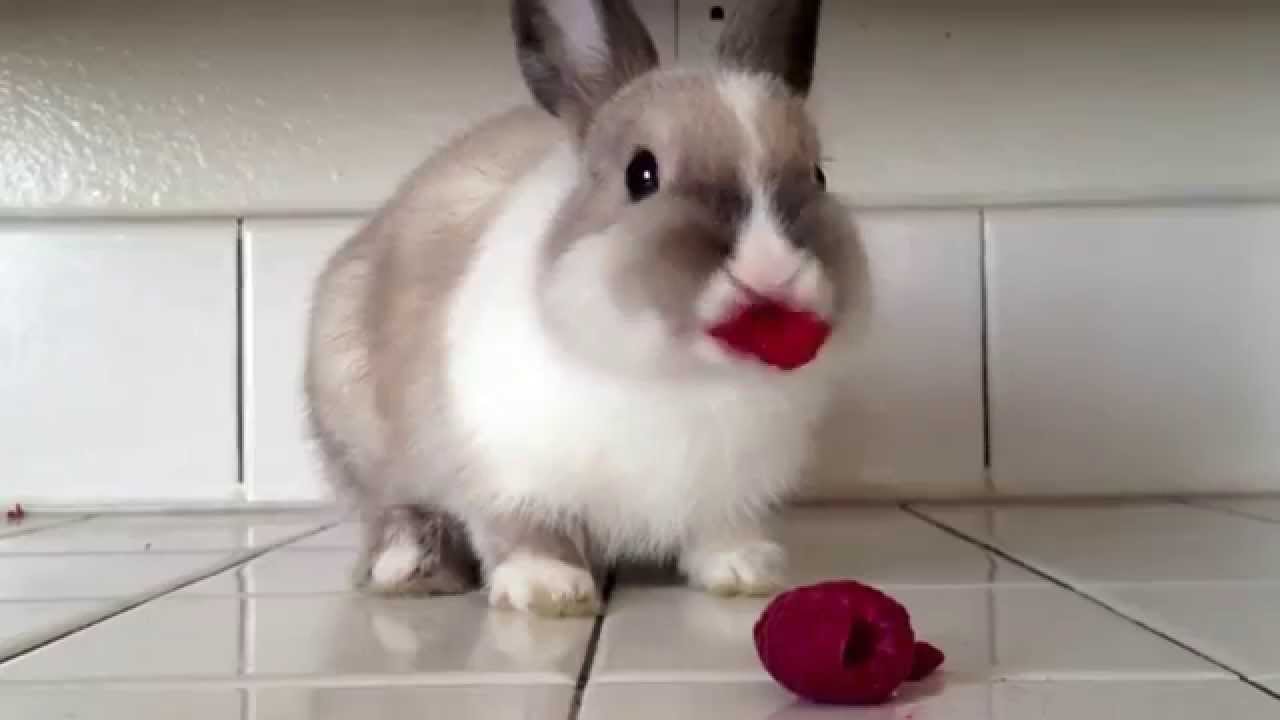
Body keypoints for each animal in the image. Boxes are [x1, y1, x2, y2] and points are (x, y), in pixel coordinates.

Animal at [304, 0, 865, 618]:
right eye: (641, 174)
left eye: (818, 175)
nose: (771, 269)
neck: (675, 375)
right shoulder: (505, 468)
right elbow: (525, 530)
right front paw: (549, 588)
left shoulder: (730, 492)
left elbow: (719, 531)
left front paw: (744, 571)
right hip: (361, 438)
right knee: (392, 509)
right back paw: (409, 567)